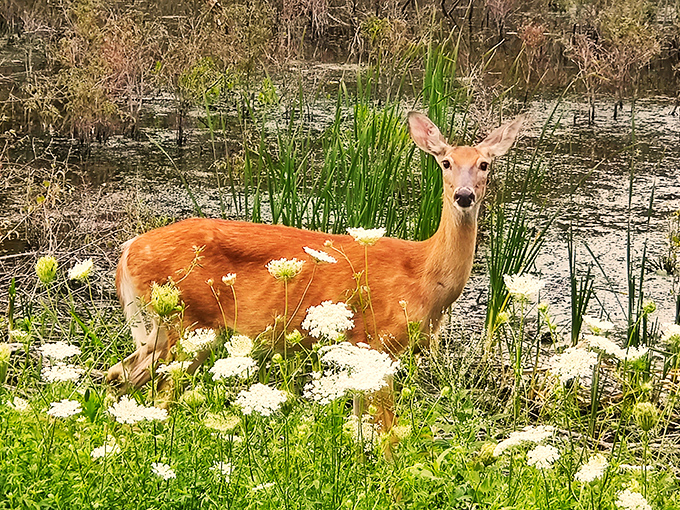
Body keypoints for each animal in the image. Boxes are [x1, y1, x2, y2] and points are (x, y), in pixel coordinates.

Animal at [107, 111, 523, 430]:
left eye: (485, 164)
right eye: (446, 162)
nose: (464, 195)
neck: (424, 276)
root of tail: (128, 251)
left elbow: (362, 426)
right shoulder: (379, 342)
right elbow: (386, 432)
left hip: (164, 329)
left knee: (119, 376)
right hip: (187, 321)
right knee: (156, 394)